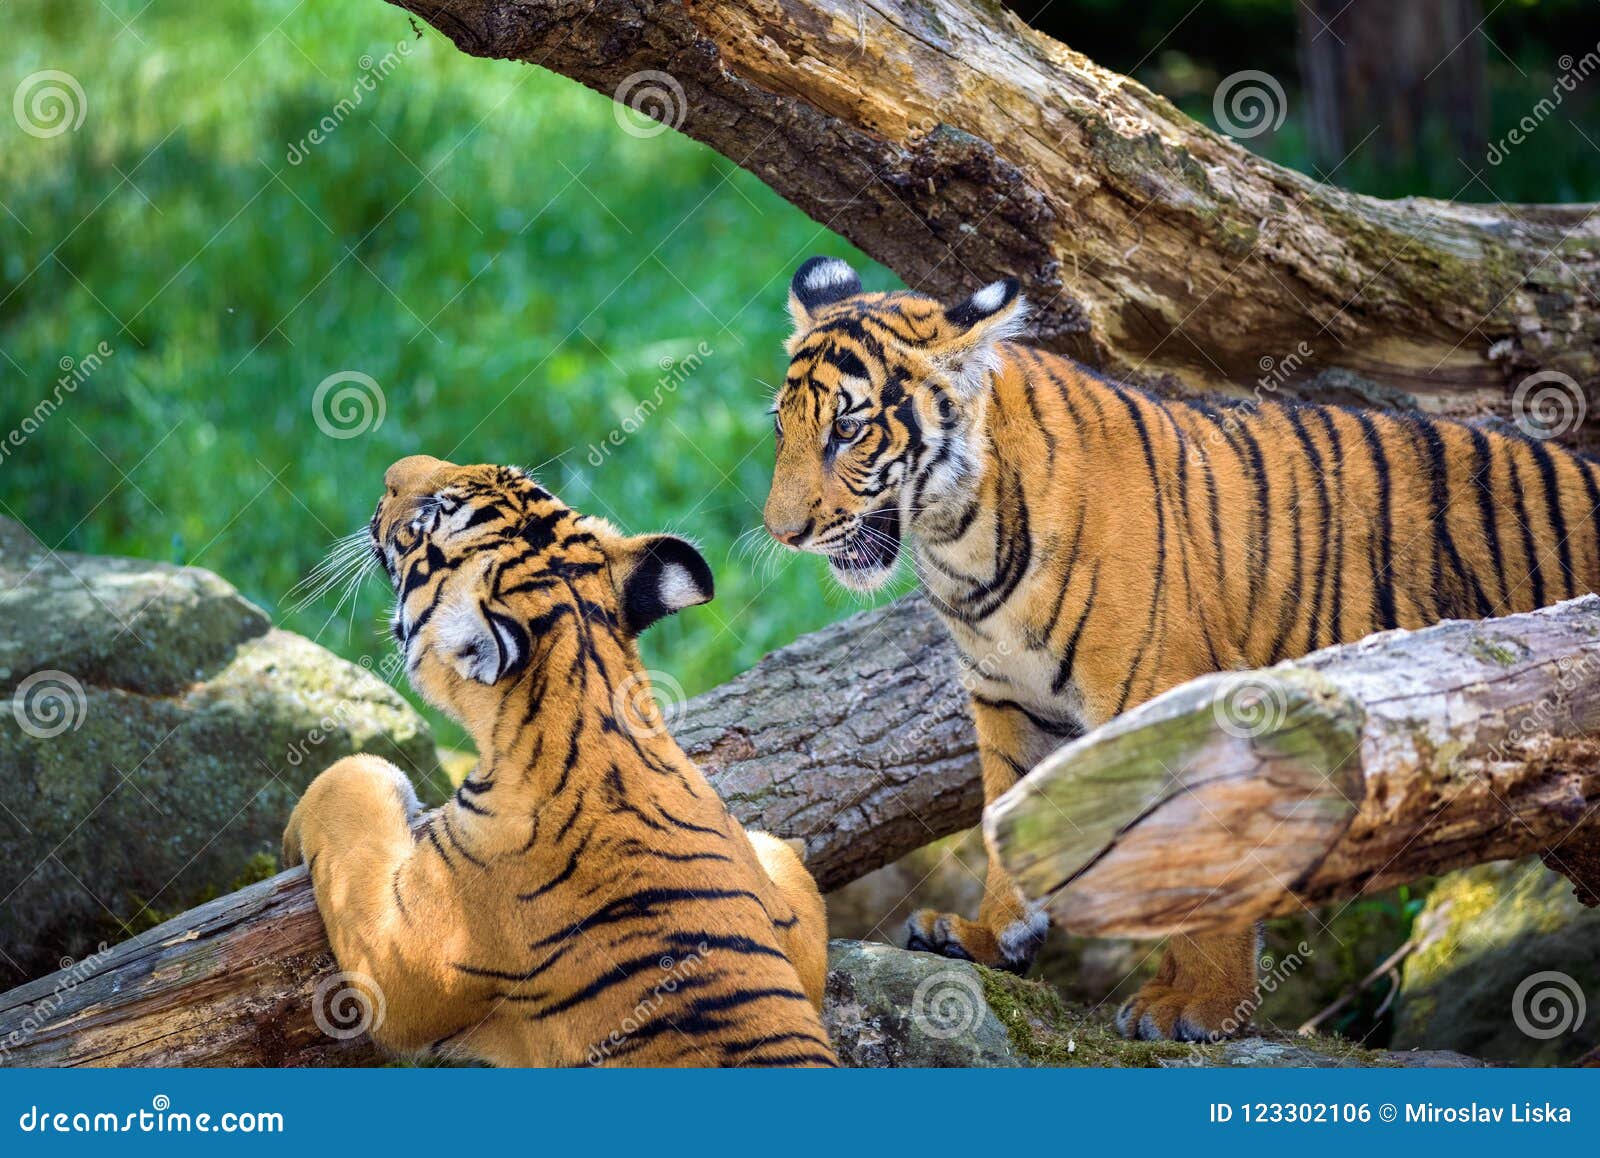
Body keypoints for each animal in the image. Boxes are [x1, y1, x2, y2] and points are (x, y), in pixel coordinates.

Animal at [282, 455, 836, 1067]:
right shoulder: (798, 938)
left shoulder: (396, 957)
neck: (593, 698)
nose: (391, 472)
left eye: (430, 517)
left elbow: (348, 792)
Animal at [762, 255, 1600, 1043]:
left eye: (848, 430)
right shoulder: (1010, 701)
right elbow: (1008, 815)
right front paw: (987, 937)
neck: (959, 543)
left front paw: (1197, 1005)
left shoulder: (1168, 699)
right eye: (783, 427)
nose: (781, 532)